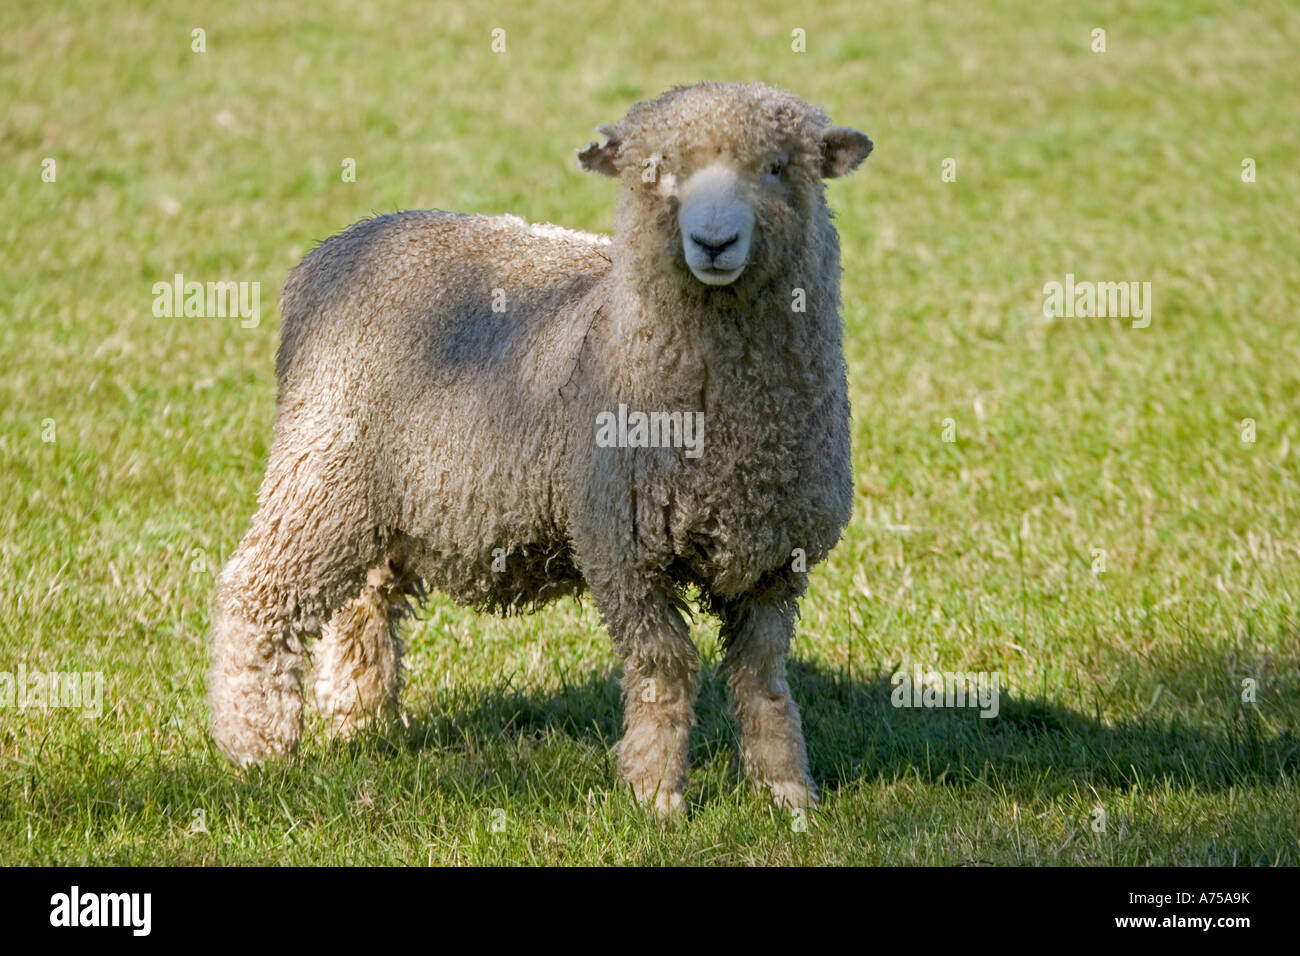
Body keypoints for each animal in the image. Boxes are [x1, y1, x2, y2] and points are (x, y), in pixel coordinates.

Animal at [208, 81, 872, 814]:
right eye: (654, 172)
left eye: (778, 168)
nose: (714, 241)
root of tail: (341, 244)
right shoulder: (622, 548)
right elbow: (664, 668)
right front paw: (654, 794)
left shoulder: (775, 560)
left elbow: (761, 679)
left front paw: (787, 793)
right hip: (320, 468)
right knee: (258, 591)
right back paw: (254, 744)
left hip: (383, 496)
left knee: (364, 603)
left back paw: (361, 717)